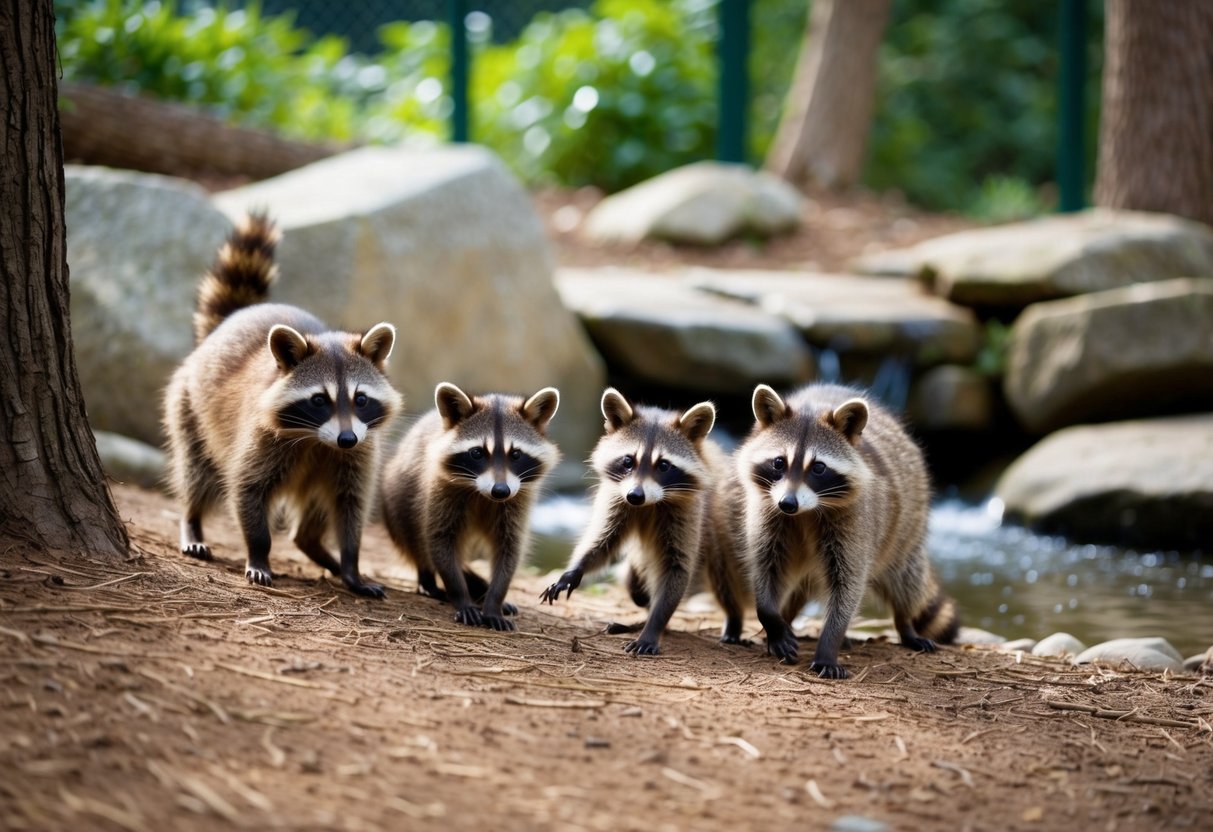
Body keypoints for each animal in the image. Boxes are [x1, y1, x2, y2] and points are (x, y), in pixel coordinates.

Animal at [163, 213, 402, 597]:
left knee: (313, 514)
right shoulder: (259, 436)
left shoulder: (359, 451)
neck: (317, 441)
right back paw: (192, 519)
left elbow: (350, 503)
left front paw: (351, 564)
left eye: (361, 399)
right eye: (319, 400)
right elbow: (247, 487)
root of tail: (225, 324)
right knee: (196, 472)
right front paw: (259, 552)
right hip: (187, 406)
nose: (346, 439)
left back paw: (317, 549)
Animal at [381, 382, 560, 631]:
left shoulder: (517, 501)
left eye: (516, 454)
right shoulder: (439, 492)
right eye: (477, 453)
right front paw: (461, 596)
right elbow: (439, 541)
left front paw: (494, 602)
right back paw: (428, 580)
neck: (484, 495)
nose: (500, 491)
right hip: (397, 497)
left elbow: (510, 548)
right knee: (415, 540)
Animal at [540, 388, 749, 654]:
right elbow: (602, 542)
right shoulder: (617, 497)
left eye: (664, 465)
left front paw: (654, 626)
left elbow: (676, 567)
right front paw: (574, 570)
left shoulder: (689, 511)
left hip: (721, 530)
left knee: (722, 577)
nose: (635, 496)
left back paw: (730, 620)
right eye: (629, 461)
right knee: (635, 587)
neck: (649, 504)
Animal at [736, 382, 959, 679]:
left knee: (905, 579)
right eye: (779, 462)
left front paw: (829, 644)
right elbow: (765, 568)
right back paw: (785, 622)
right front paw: (772, 619)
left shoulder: (856, 524)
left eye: (818, 468)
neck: (805, 513)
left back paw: (905, 624)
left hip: (908, 529)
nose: (788, 503)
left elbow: (849, 585)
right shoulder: (768, 514)